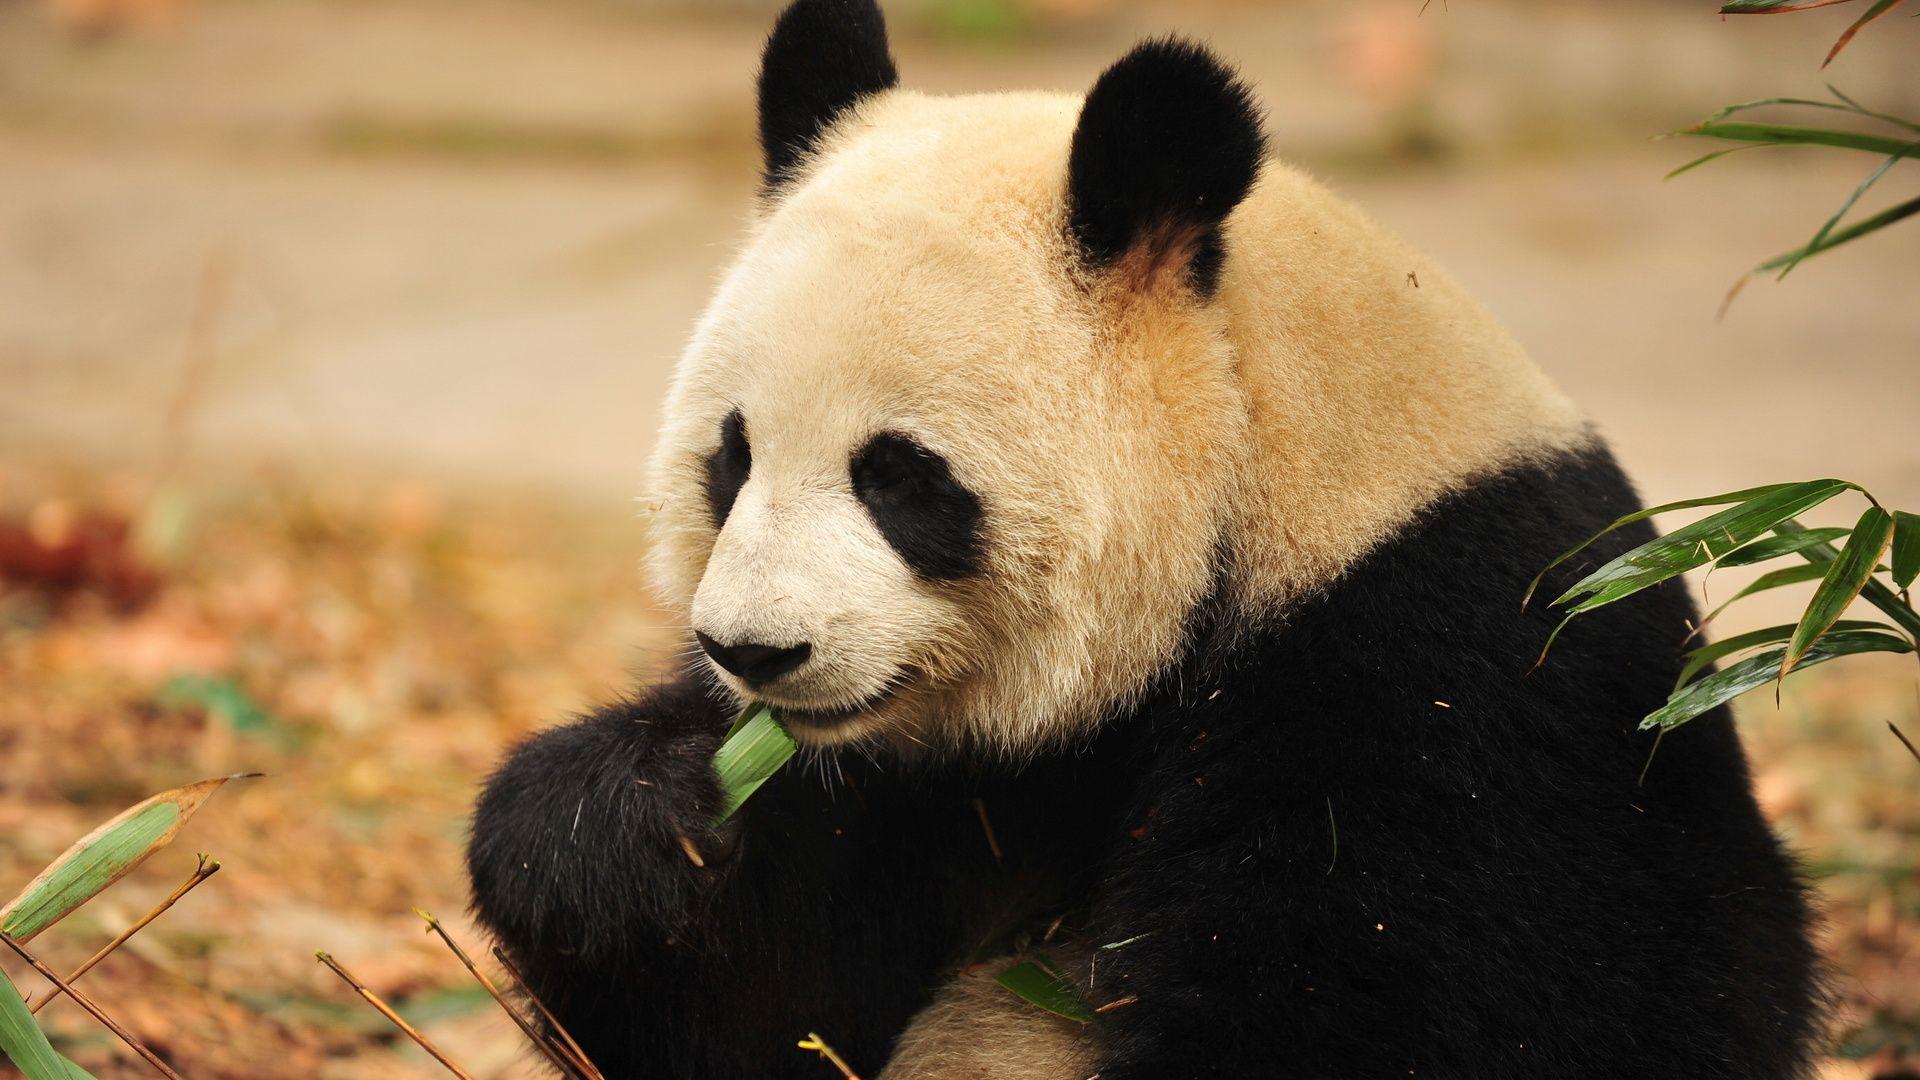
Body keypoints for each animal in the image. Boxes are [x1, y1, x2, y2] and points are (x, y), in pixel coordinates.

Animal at [466, 1, 1824, 1076]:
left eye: (901, 479)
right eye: (732, 458)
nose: (755, 653)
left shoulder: (1458, 675)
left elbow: (1408, 1000)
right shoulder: (938, 787)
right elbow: (780, 1010)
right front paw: (627, 827)